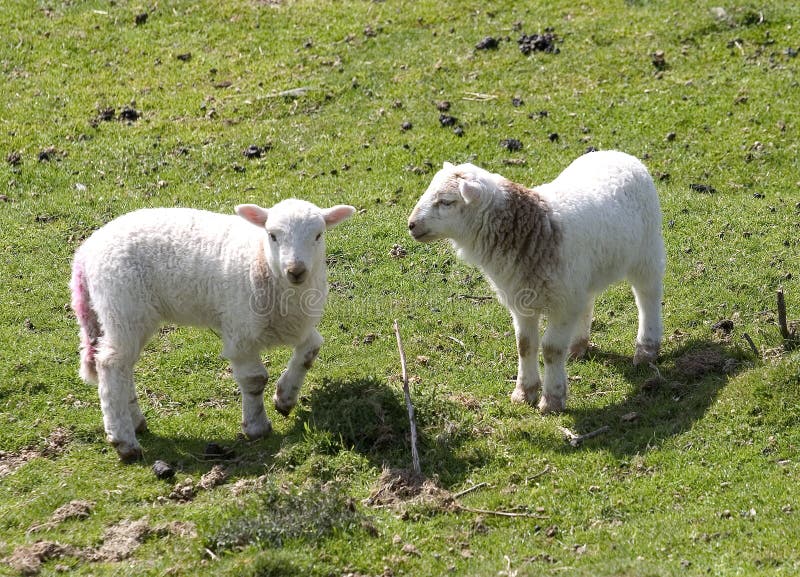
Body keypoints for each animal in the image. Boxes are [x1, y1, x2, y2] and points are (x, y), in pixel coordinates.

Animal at [70, 199, 355, 461]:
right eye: (272, 235)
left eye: (318, 235)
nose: (296, 271)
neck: (261, 262)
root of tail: (86, 251)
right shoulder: (240, 333)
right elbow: (255, 380)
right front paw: (257, 427)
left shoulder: (298, 325)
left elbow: (311, 350)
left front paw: (285, 398)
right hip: (122, 306)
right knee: (111, 365)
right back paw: (124, 441)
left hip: (131, 316)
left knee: (123, 366)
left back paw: (136, 422)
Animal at [407, 150, 664, 414]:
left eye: (446, 202)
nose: (411, 225)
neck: (529, 227)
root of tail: (618, 154)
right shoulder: (522, 298)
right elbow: (525, 345)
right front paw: (524, 392)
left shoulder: (562, 303)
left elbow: (551, 349)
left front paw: (552, 399)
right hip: (582, 275)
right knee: (588, 301)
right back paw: (577, 346)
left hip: (646, 251)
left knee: (648, 296)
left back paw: (646, 348)